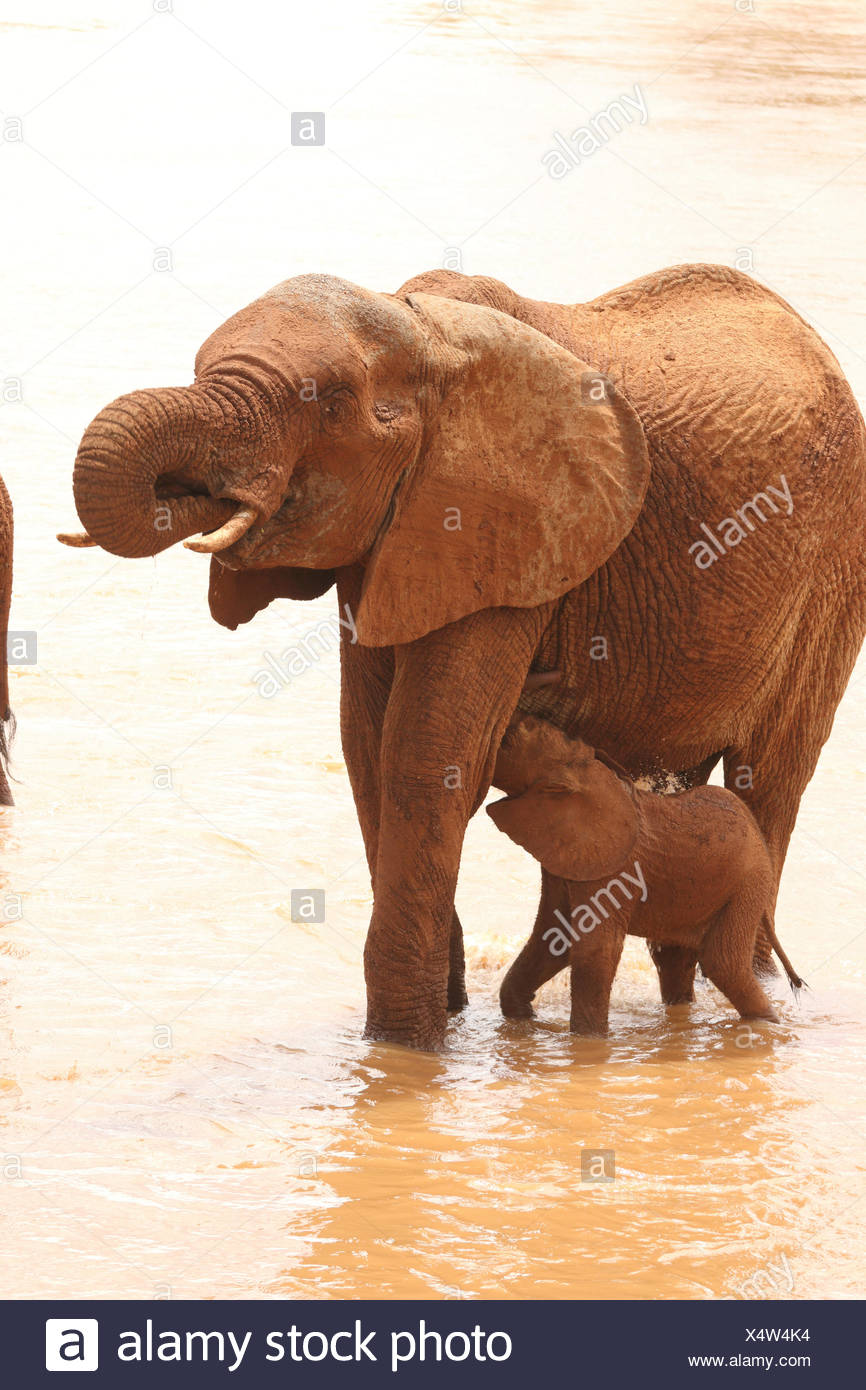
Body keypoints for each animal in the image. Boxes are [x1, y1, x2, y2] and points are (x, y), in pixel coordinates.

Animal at [487, 714, 804, 1034]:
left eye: (515, 740)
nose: (512, 723)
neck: (588, 771)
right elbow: (555, 935)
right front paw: (522, 1016)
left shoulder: (613, 870)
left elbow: (595, 948)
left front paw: (588, 1039)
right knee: (676, 956)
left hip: (747, 885)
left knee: (723, 963)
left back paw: (767, 1024)